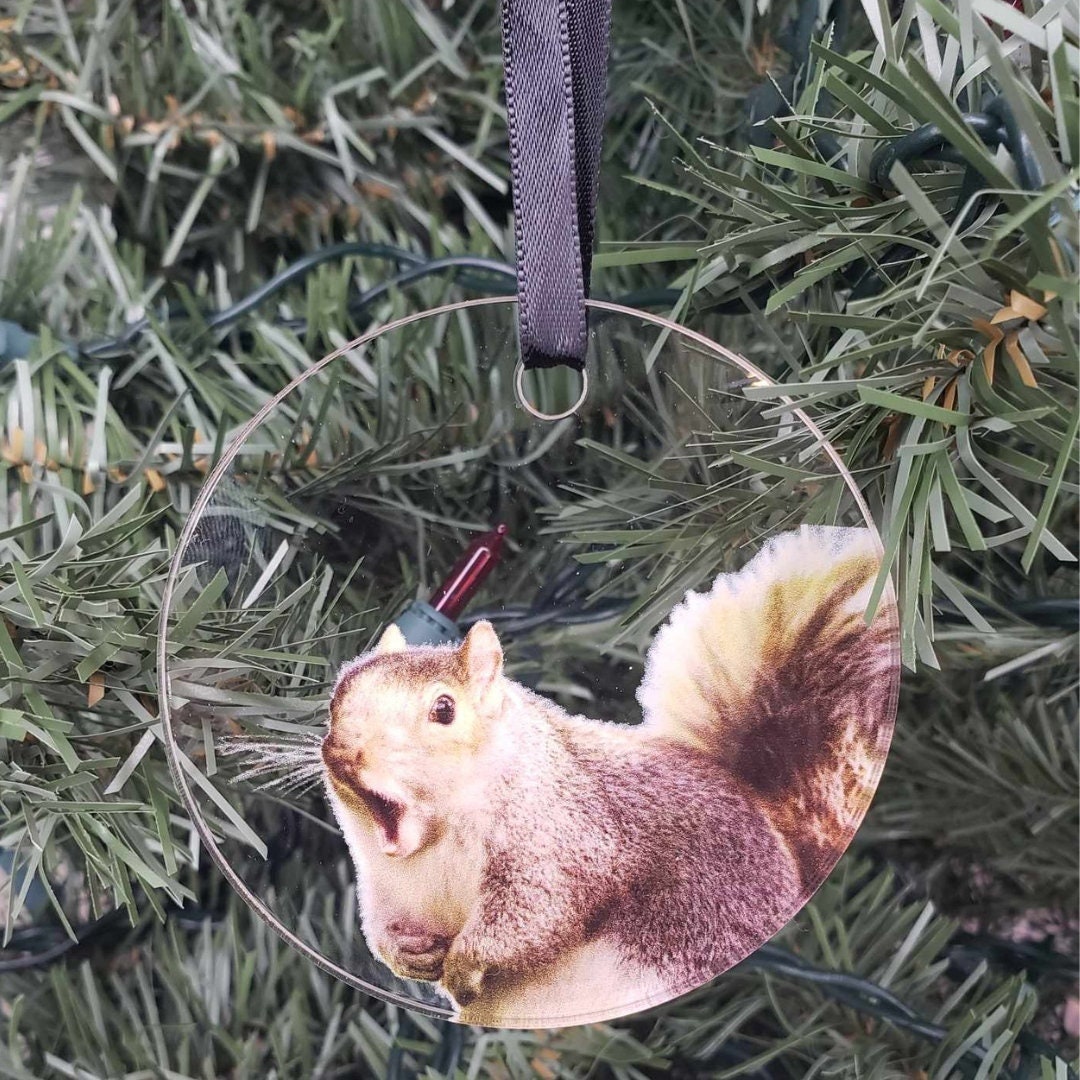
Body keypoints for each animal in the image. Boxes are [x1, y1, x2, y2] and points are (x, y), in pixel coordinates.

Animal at [321, 525, 899, 1027]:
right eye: (338, 690)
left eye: (444, 710)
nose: (343, 753)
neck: (436, 842)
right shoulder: (389, 888)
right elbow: (384, 930)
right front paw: (408, 955)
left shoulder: (567, 840)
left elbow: (534, 915)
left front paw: (464, 965)